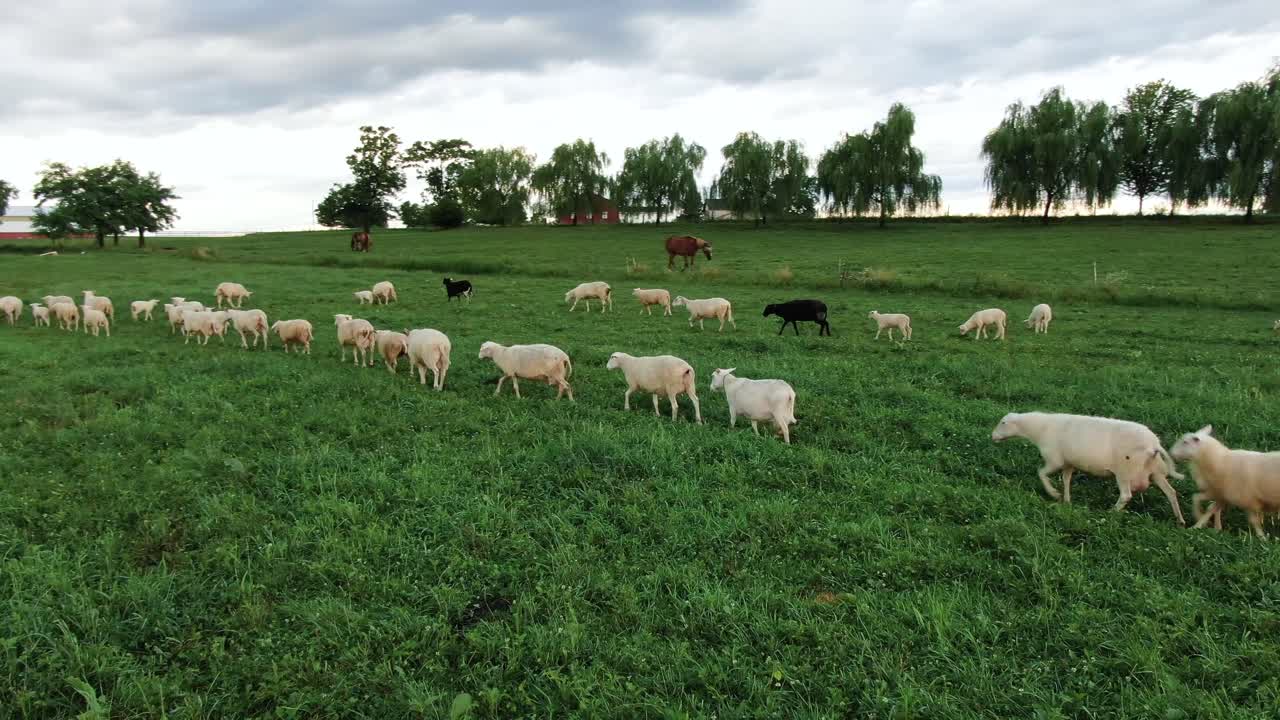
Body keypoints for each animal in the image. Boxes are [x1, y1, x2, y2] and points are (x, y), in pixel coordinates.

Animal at [991, 412, 1186, 525]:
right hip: (1156, 472)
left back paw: (1110, 513)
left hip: (1124, 472)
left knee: (1126, 495)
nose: (992, 436)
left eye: (1002, 422)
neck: (1039, 429)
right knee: (1171, 492)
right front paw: (1066, 500)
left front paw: (1053, 493)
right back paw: (1180, 520)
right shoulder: (1068, 463)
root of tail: (1154, 444)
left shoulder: (1054, 460)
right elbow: (1066, 480)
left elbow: (1041, 473)